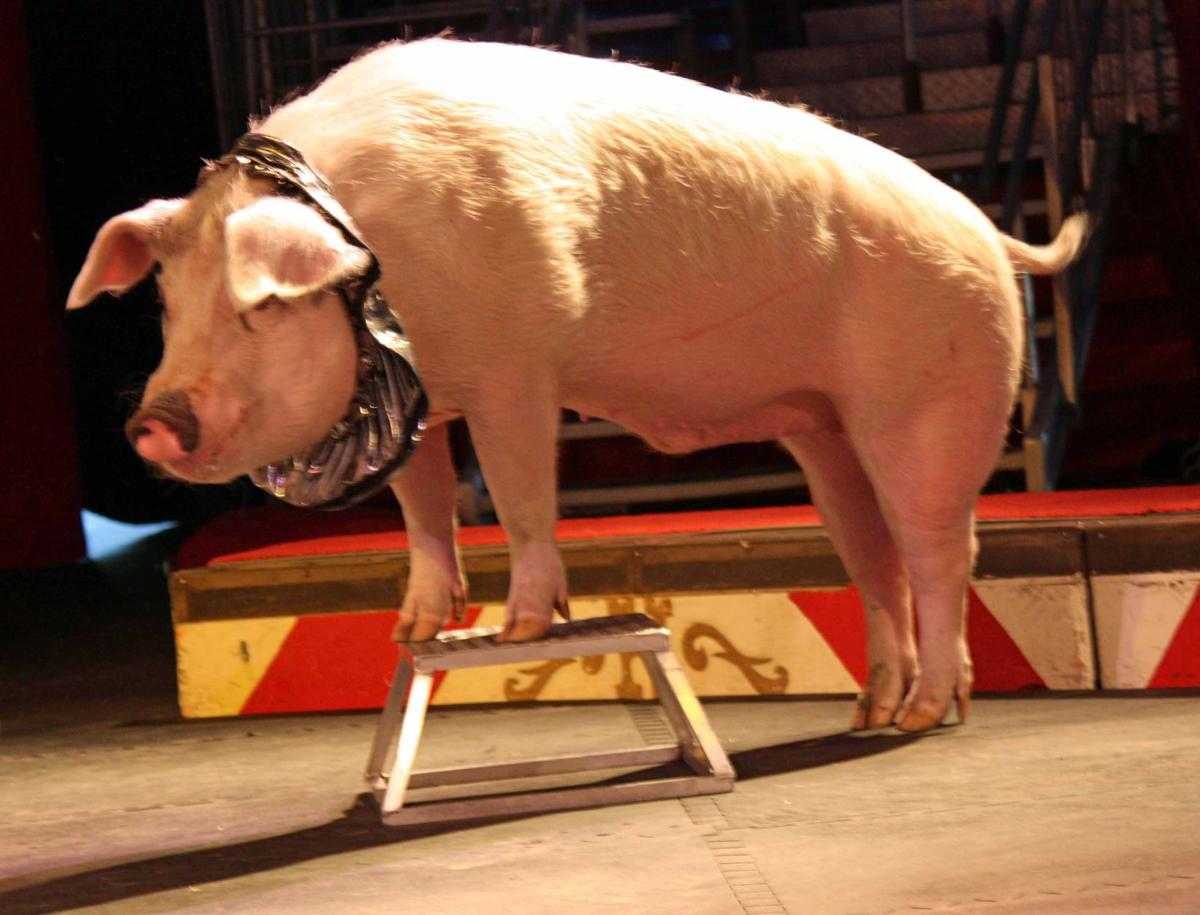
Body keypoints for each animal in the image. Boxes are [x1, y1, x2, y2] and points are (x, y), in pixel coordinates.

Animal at [67, 37, 1086, 732]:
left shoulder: (520, 360)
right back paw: (869, 713)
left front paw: (521, 631)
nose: (152, 422)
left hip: (929, 398)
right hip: (824, 426)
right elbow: (423, 509)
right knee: (873, 558)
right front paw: (414, 630)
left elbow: (521, 494)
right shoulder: (417, 394)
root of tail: (991, 230)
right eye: (167, 303)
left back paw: (924, 713)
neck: (379, 257)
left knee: (941, 550)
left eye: (261, 307)